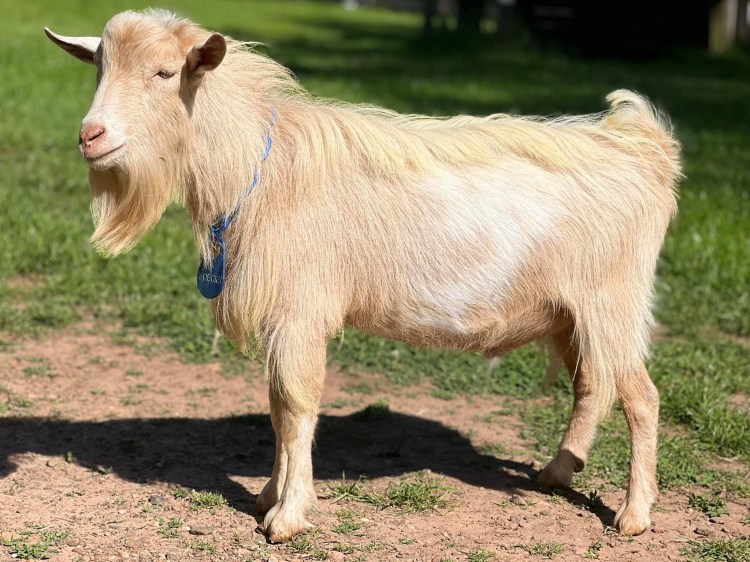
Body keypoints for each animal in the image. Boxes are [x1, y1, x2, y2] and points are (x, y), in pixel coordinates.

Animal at [46, 9, 681, 542]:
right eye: (99, 67)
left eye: (164, 72)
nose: (90, 136)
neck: (260, 167)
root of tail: (643, 150)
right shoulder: (287, 317)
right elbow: (277, 408)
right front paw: (268, 495)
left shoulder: (300, 309)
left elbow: (296, 404)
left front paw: (288, 517)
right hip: (570, 313)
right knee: (593, 386)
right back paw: (556, 473)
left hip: (611, 300)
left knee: (642, 398)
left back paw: (633, 515)